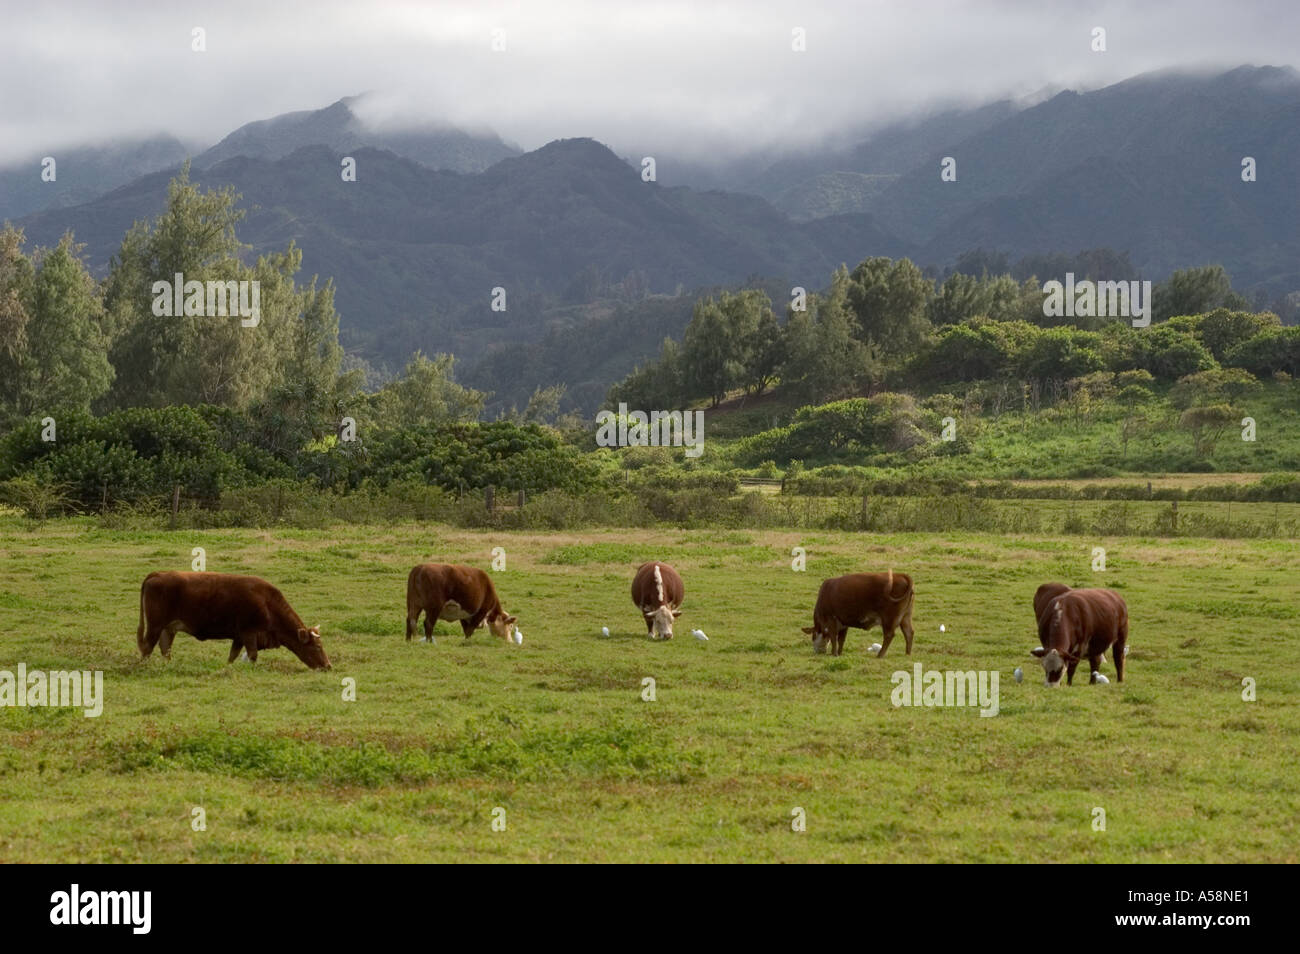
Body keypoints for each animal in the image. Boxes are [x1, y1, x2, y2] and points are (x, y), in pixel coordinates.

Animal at [136, 571, 330, 670]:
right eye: (317, 646)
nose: (328, 666)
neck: (267, 602)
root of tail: (157, 574)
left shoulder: (238, 637)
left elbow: (233, 655)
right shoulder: (249, 633)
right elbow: (252, 655)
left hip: (168, 628)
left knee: (165, 649)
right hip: (155, 626)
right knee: (147, 648)